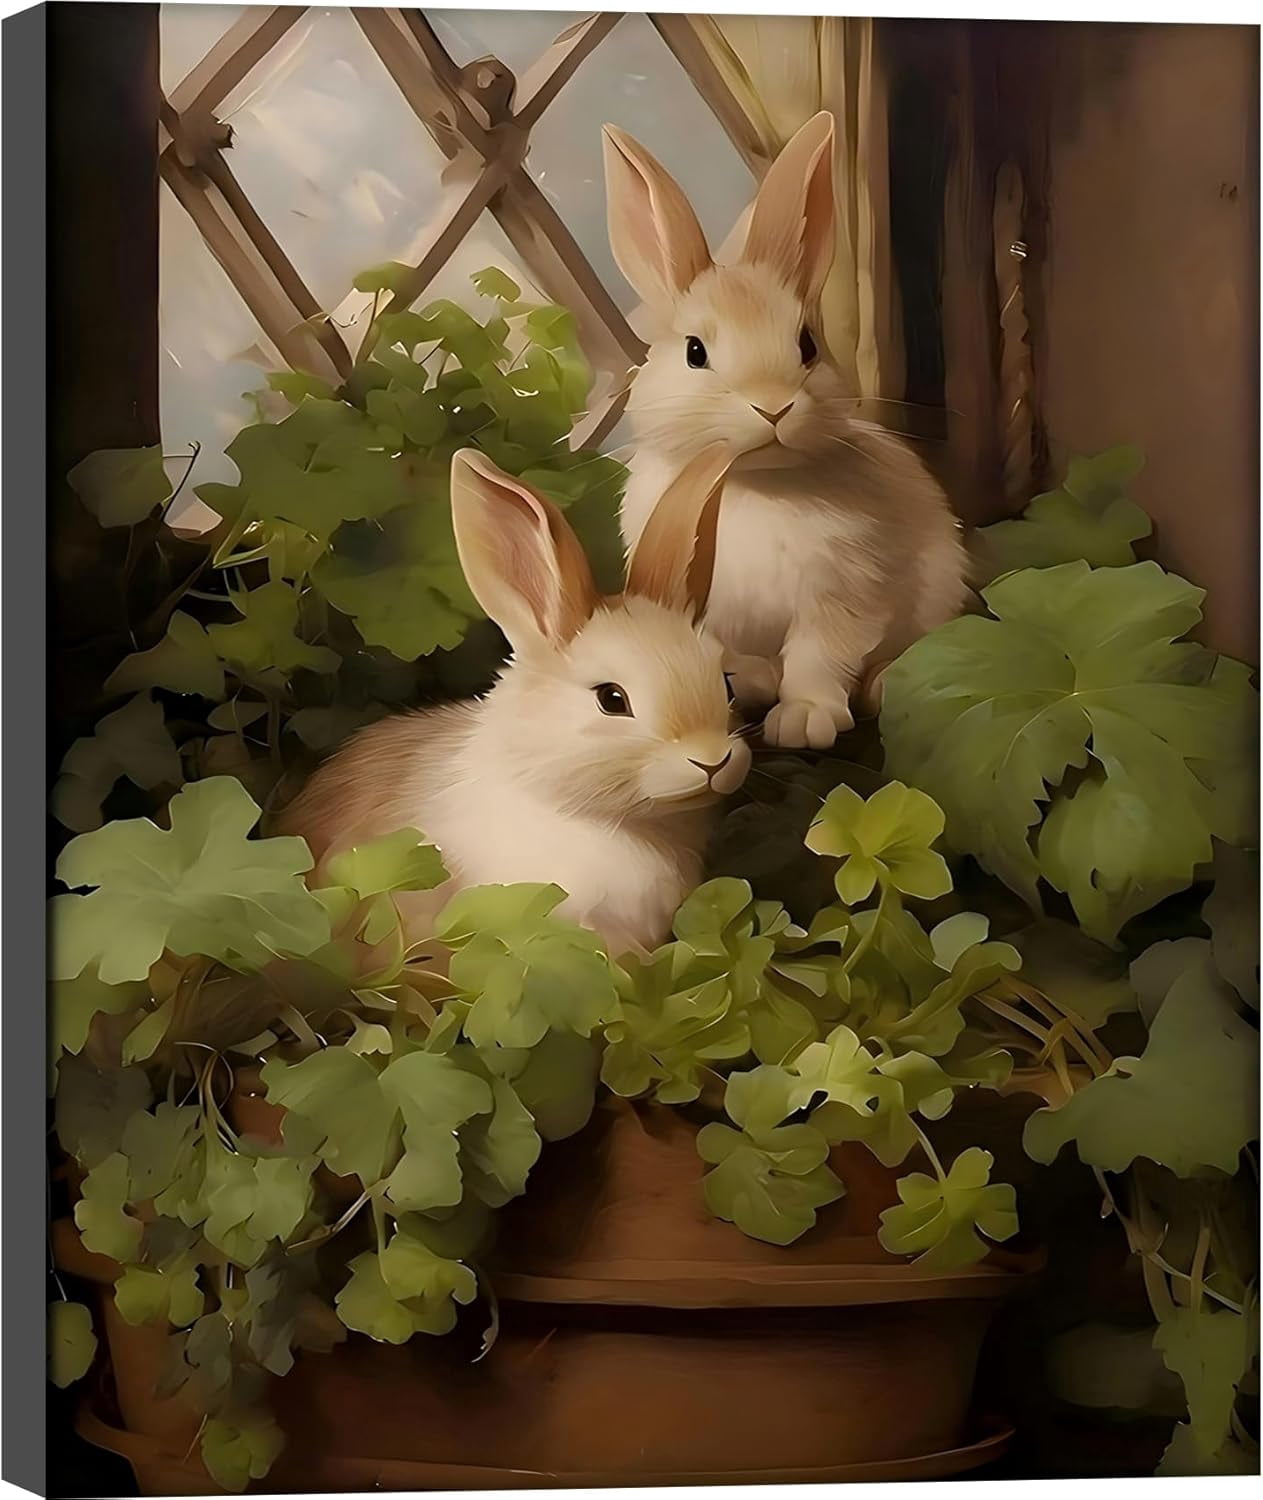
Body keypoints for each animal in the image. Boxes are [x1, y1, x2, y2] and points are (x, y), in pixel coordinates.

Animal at [602, 111, 968, 750]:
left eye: (808, 345)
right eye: (694, 352)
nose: (772, 408)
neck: (748, 482)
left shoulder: (840, 596)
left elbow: (818, 659)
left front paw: (804, 721)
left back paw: (882, 684)